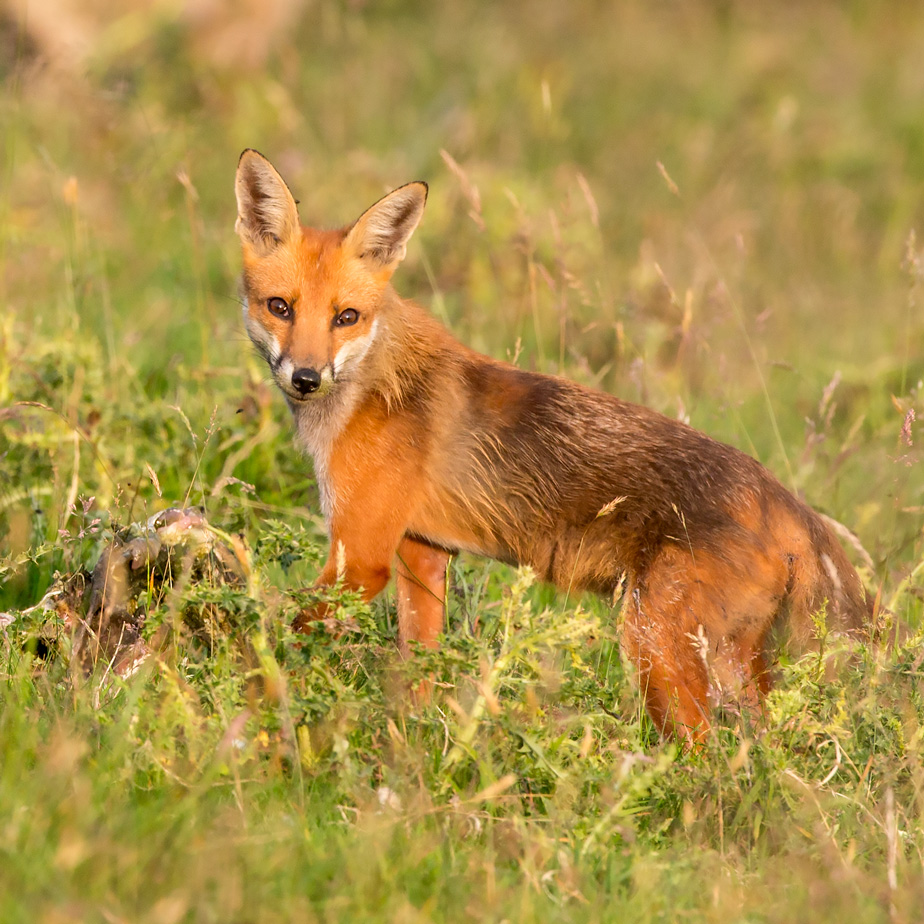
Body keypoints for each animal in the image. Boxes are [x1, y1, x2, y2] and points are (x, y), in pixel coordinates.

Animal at [233, 148, 873, 743]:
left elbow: (274, 641)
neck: (371, 383)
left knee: (709, 758)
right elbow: (417, 675)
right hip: (732, 668)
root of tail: (789, 502)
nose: (306, 378)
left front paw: (240, 710)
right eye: (280, 307)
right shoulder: (422, 552)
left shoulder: (361, 558)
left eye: (346, 317)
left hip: (654, 647)